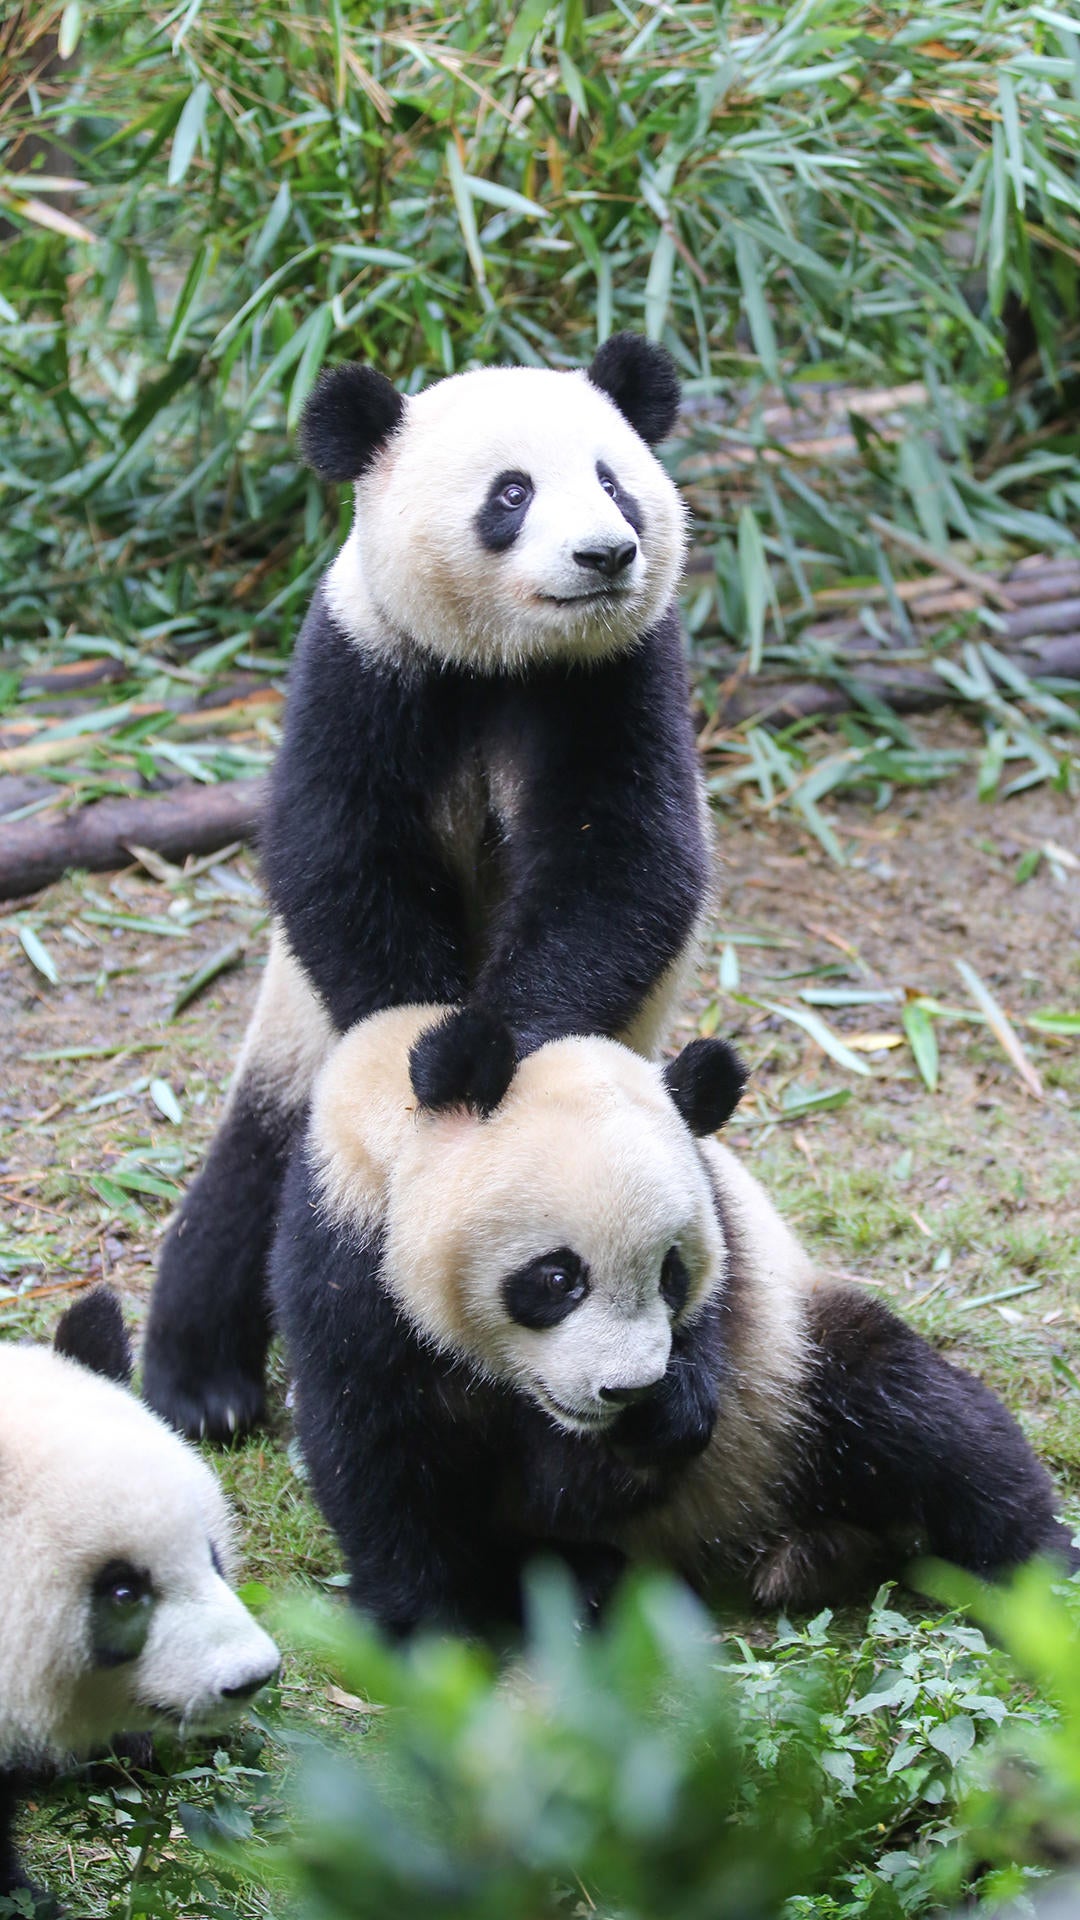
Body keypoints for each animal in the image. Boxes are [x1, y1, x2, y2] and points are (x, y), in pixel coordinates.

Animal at [143, 333, 710, 1445]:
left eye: (613, 480)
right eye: (512, 493)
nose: (606, 555)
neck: (509, 661)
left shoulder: (621, 675)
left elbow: (626, 867)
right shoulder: (362, 662)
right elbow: (339, 855)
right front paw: (442, 1064)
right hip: (294, 1042)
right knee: (246, 1176)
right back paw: (201, 1386)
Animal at [269, 1006, 1077, 1639]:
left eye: (671, 1273)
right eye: (557, 1278)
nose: (626, 1391)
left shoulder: (734, 1264)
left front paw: (661, 1422)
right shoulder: (345, 1260)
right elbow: (378, 1457)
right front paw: (422, 1630)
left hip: (794, 1371)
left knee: (923, 1416)